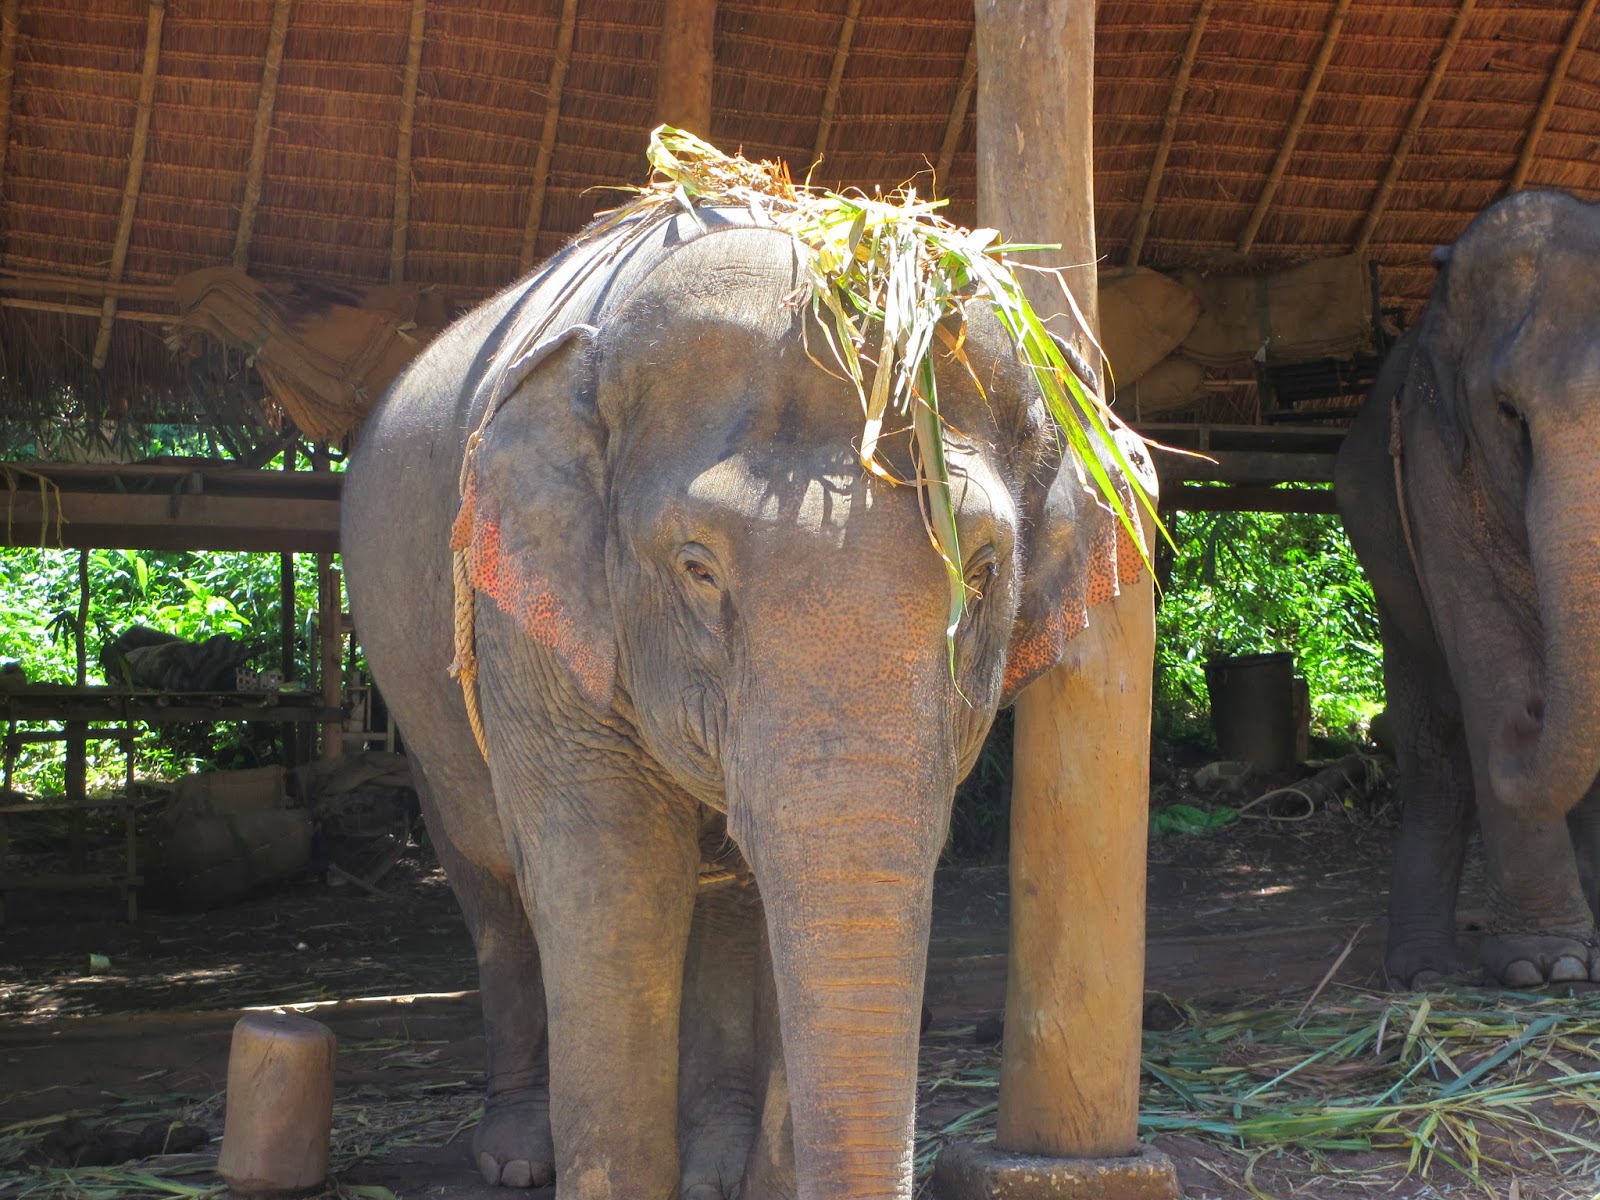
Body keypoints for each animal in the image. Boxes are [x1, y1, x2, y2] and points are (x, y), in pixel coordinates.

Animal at [342, 198, 1149, 1199]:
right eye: (698, 569)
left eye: (986, 569)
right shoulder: (530, 628)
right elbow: (610, 883)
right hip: (423, 709)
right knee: (491, 886)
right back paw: (516, 1156)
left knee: (726, 893)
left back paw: (714, 1165)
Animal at [1336, 189, 1600, 989]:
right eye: (1510, 414)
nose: (1532, 714)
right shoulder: (1432, 464)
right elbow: (1488, 660)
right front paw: (1546, 967)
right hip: (1393, 592)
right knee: (1437, 755)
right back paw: (1425, 973)